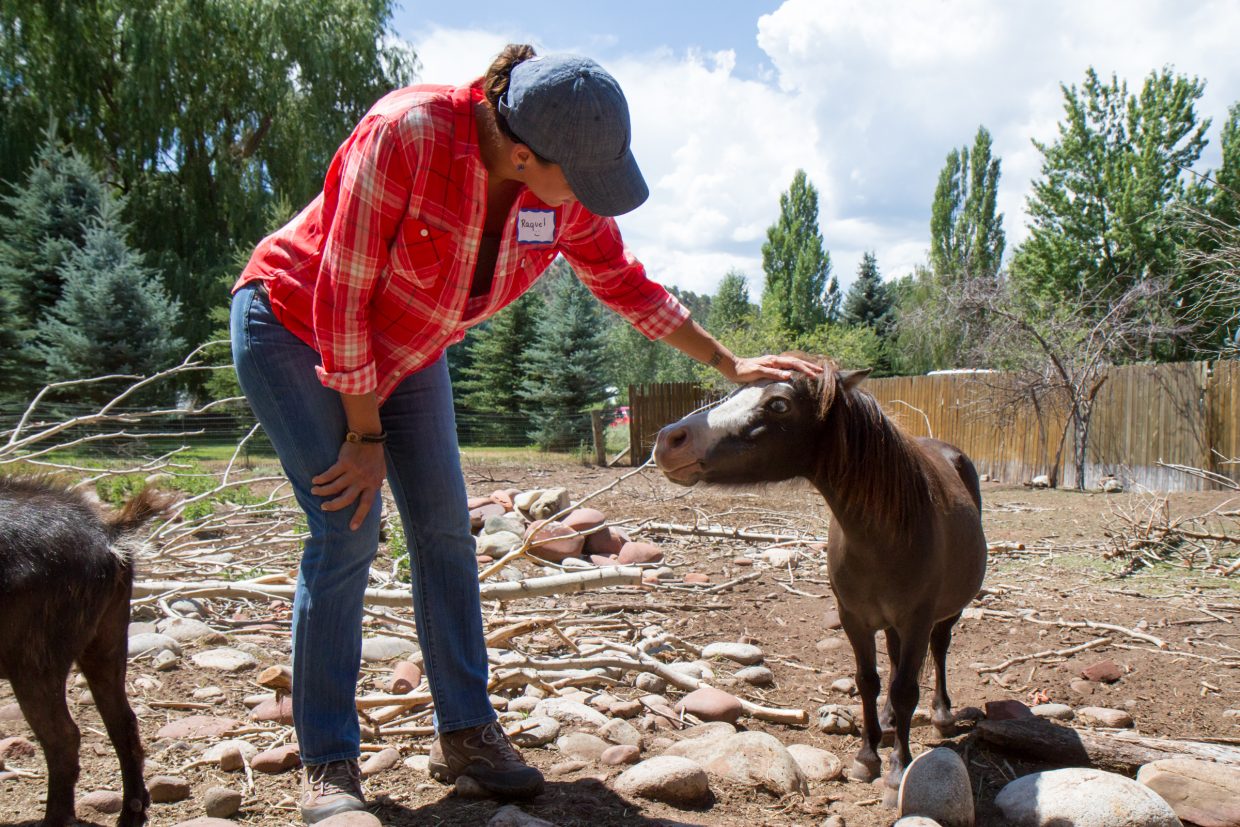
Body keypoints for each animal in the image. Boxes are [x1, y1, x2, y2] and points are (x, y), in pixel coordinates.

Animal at [653, 361, 987, 802]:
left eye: (779, 403)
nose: (669, 440)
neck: (884, 536)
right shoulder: (854, 618)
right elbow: (869, 681)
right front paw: (867, 756)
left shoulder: (917, 618)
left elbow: (904, 688)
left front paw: (898, 768)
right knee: (895, 659)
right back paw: (888, 722)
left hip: (947, 613)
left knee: (940, 649)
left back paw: (942, 714)